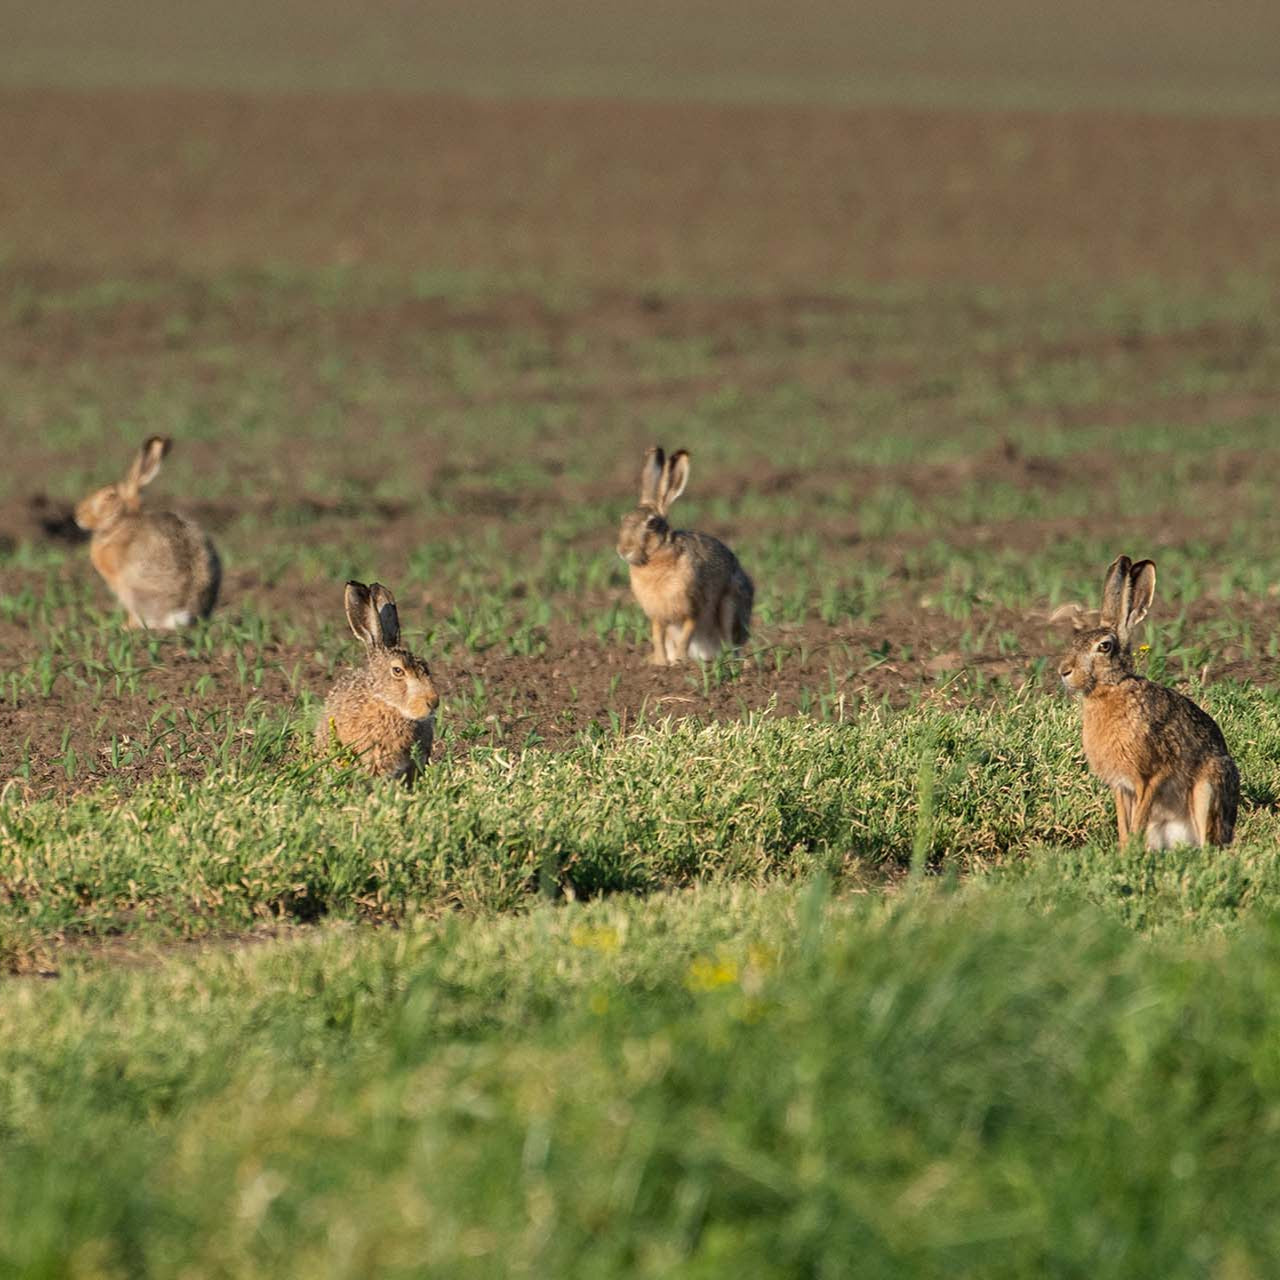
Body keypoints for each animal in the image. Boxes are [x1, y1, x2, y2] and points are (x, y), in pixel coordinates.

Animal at [616, 446, 753, 665]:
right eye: (624, 519)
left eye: (651, 524)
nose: (623, 550)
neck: (657, 556)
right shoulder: (658, 616)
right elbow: (658, 636)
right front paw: (660, 663)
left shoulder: (692, 608)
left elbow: (686, 635)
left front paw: (679, 662)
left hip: (730, 607)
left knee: (730, 643)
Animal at [1058, 554, 1238, 849]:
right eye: (1076, 640)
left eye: (1104, 646)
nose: (1064, 671)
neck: (1112, 689)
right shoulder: (1121, 786)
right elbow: (1125, 824)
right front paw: (1124, 851)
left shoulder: (1153, 776)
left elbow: (1139, 819)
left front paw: (1130, 851)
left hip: (1207, 788)